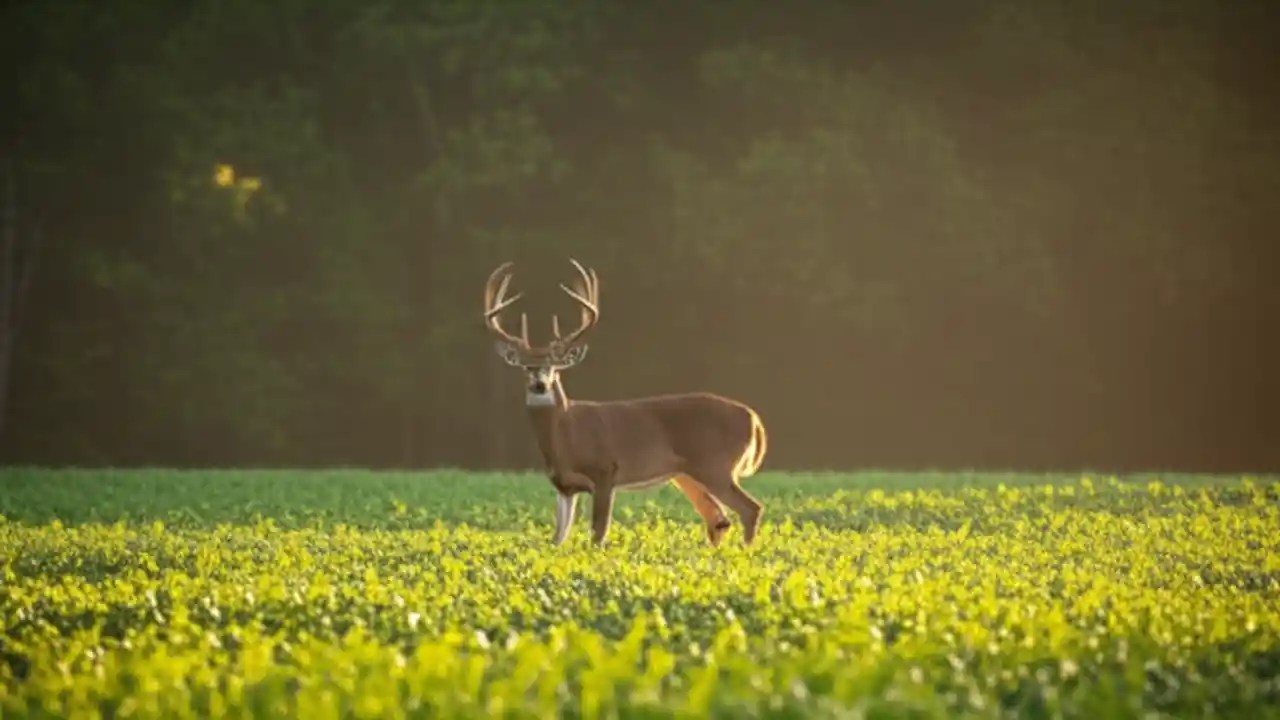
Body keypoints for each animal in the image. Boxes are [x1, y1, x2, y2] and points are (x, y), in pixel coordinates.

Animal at [483, 258, 769, 548]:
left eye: (555, 368)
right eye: (525, 367)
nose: (540, 385)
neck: (565, 437)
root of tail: (753, 417)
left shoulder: (605, 471)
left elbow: (598, 532)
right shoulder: (563, 486)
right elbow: (557, 538)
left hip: (715, 465)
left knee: (750, 508)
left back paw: (745, 553)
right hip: (687, 474)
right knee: (718, 519)